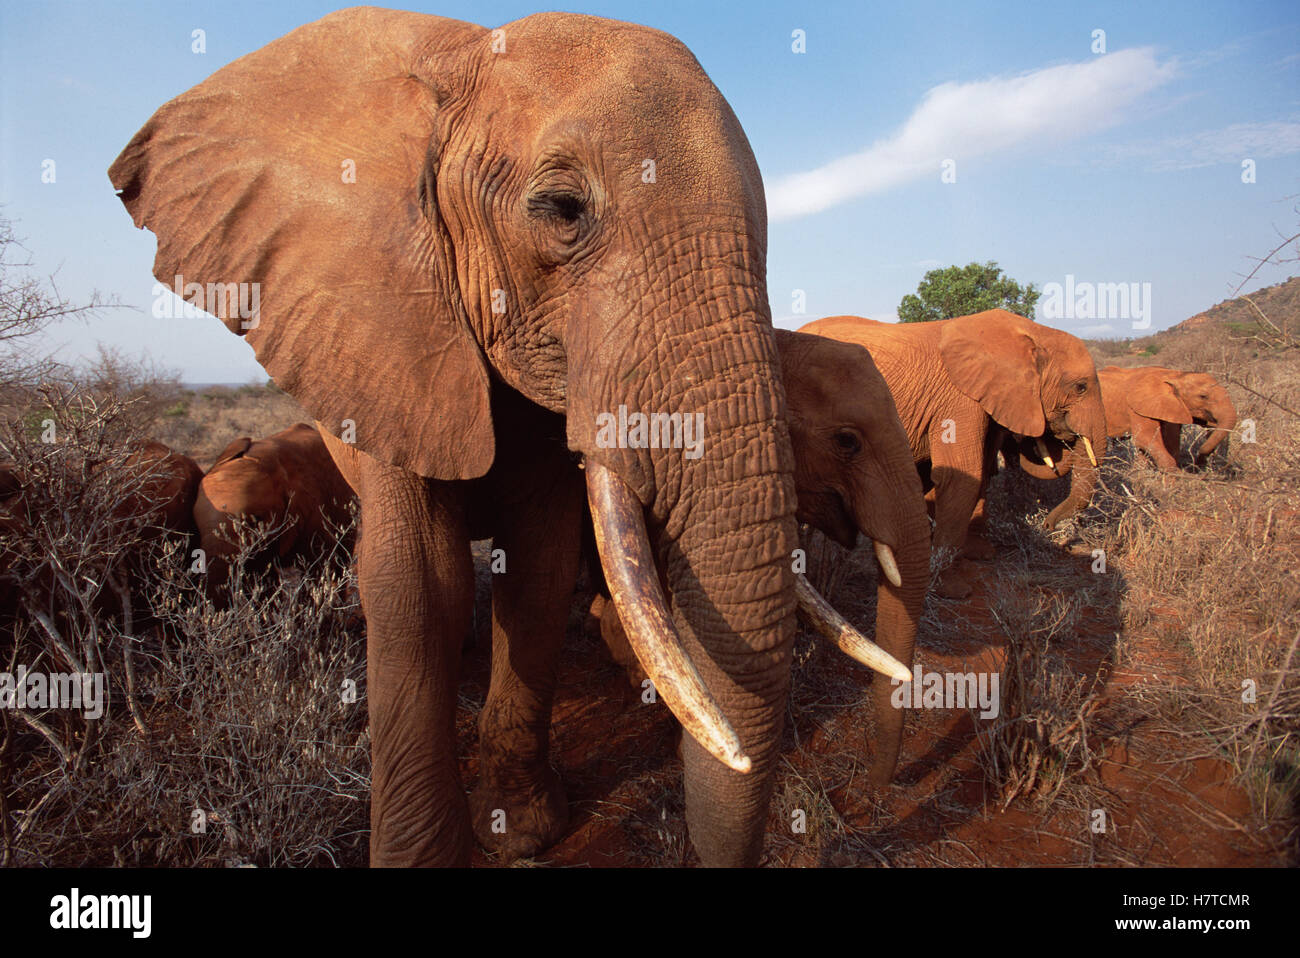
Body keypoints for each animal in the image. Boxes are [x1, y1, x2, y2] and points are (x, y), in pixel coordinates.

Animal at [798, 311, 1109, 561]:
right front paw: (947, 578)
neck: (1033, 332)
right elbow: (961, 474)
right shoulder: (958, 399)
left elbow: (981, 472)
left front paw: (979, 553)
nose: (1048, 526)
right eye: (1080, 387)